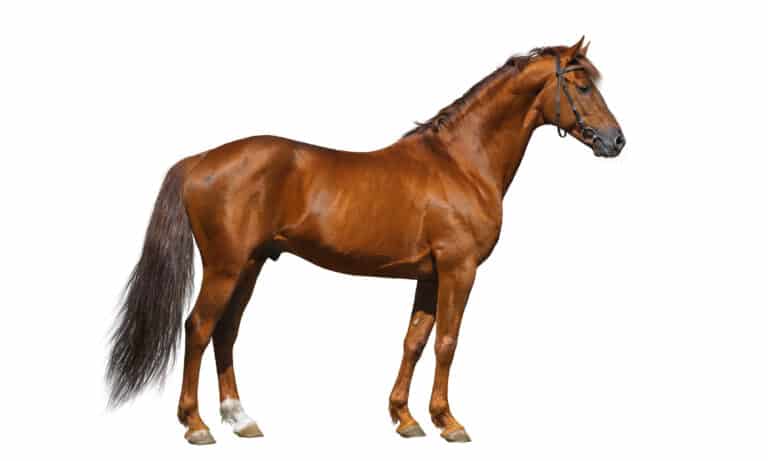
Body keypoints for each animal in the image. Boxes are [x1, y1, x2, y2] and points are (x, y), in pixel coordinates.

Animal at [106, 37, 625, 444]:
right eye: (582, 86)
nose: (616, 141)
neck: (461, 162)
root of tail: (198, 160)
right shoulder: (458, 269)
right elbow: (447, 342)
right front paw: (449, 422)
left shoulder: (429, 276)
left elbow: (414, 341)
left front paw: (406, 418)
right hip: (225, 268)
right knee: (198, 328)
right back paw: (196, 425)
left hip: (249, 266)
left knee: (226, 331)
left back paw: (241, 419)